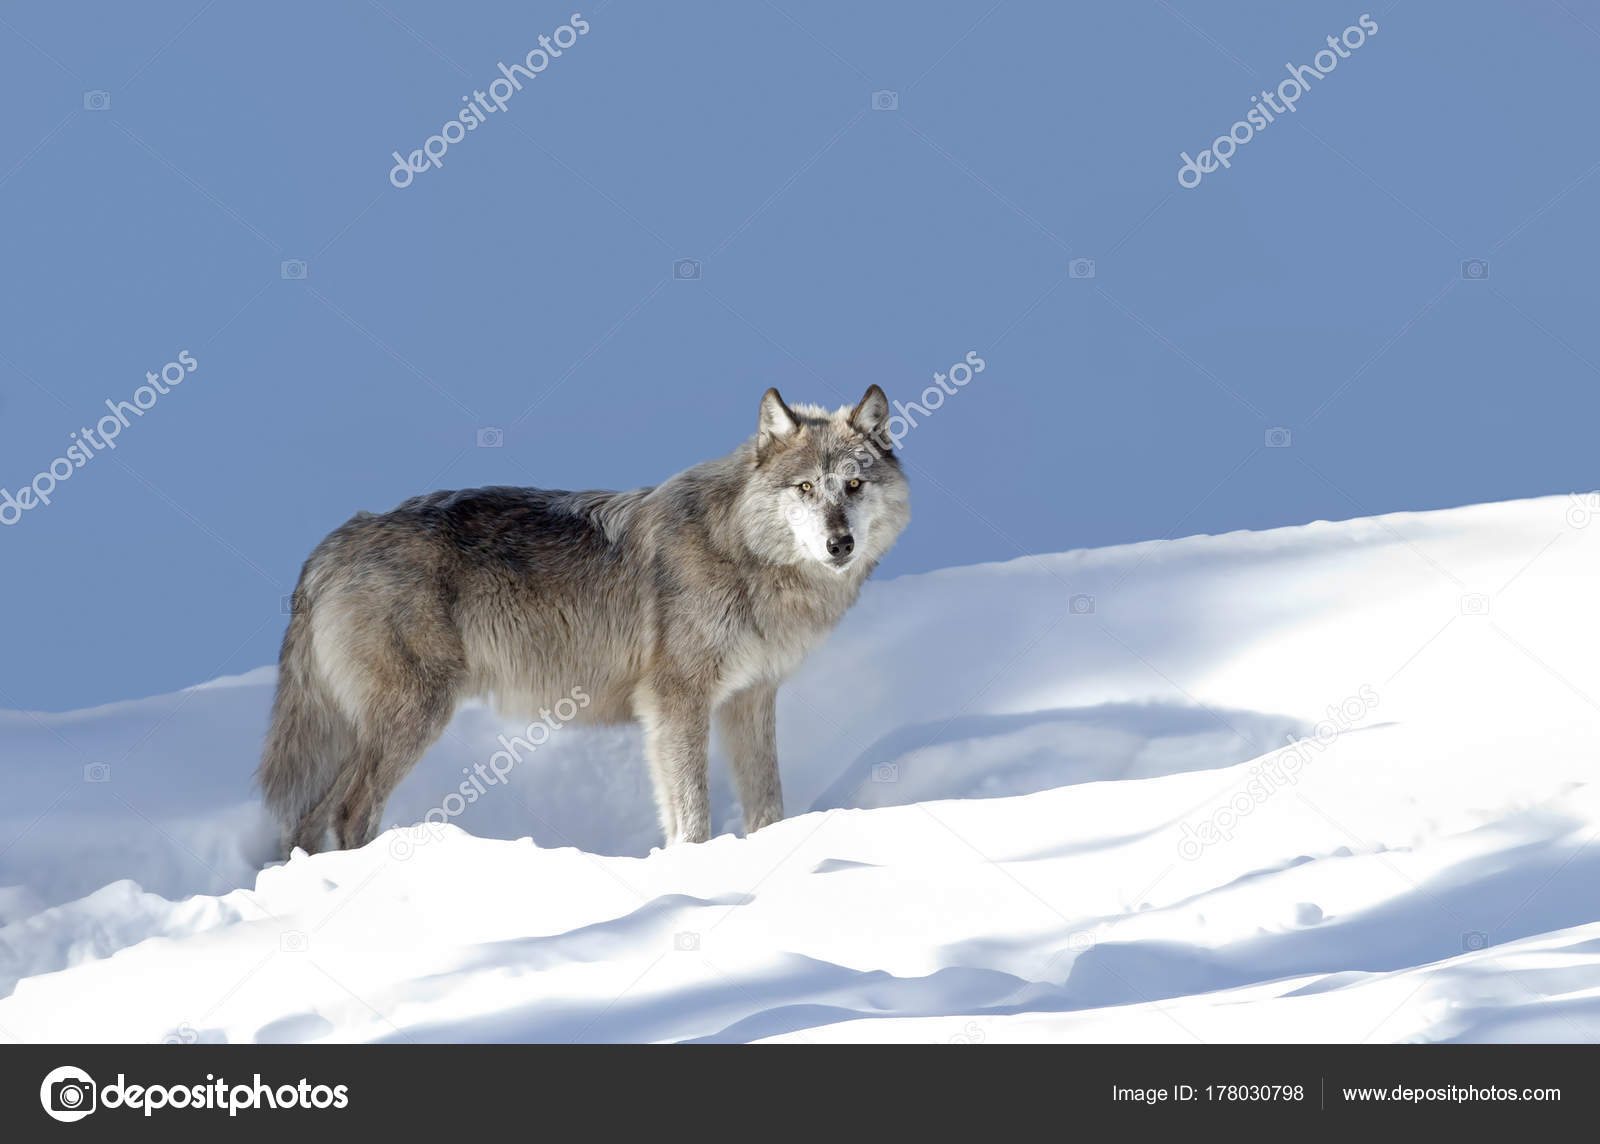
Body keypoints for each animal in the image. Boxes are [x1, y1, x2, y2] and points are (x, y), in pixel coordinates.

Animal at [257, 385, 910, 856]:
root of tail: (332, 545)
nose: (840, 544)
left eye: (853, 485)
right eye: (805, 488)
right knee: (350, 812)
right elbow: (691, 815)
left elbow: (767, 807)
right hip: (416, 715)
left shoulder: (749, 699)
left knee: (306, 819)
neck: (744, 553)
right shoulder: (676, 701)